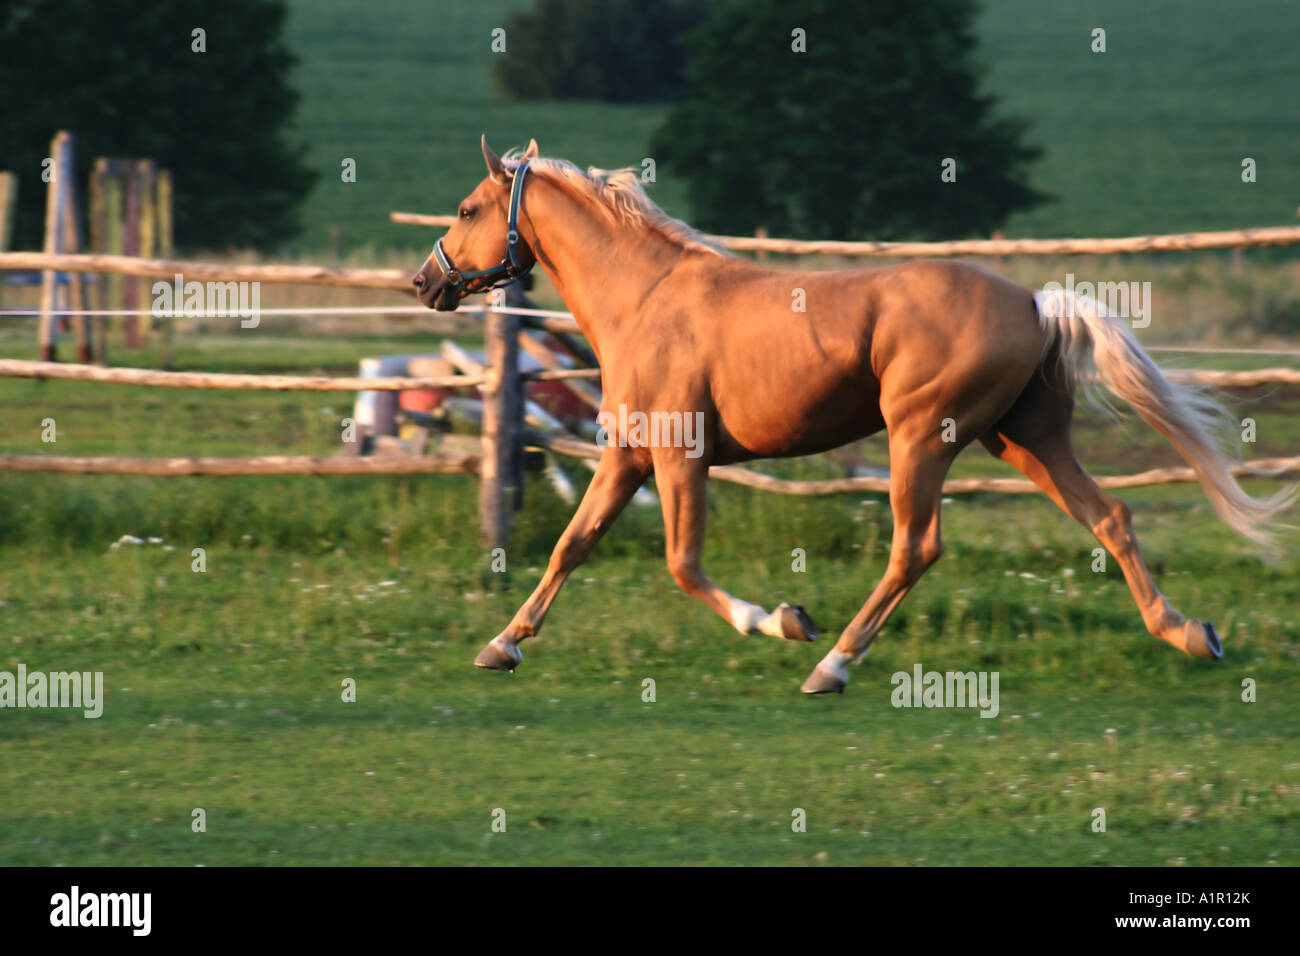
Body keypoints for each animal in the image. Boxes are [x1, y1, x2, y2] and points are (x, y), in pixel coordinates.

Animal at [411, 136, 1294, 695]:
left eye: (465, 208)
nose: (426, 281)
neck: (648, 298)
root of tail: (1034, 302)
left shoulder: (678, 457)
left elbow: (683, 565)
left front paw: (785, 620)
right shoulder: (629, 456)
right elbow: (572, 544)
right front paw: (501, 645)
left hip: (922, 437)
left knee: (917, 546)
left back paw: (830, 664)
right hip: (1023, 440)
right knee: (1110, 516)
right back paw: (1189, 632)